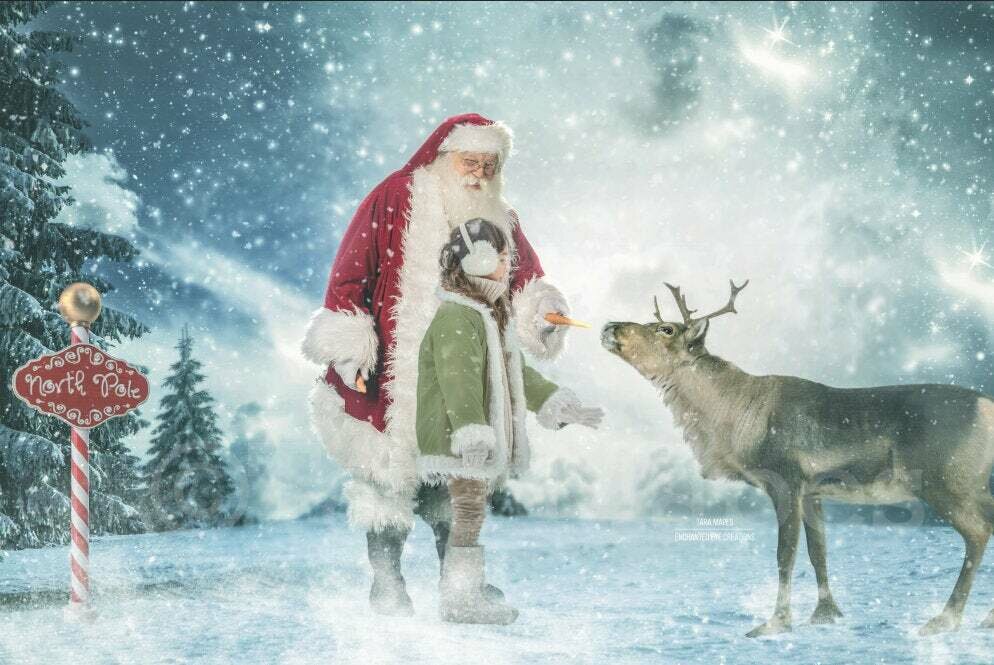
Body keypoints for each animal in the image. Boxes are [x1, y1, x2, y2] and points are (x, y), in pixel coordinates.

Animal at [601, 280, 994, 637]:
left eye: (665, 329)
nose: (609, 326)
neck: (735, 417)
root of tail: (987, 405)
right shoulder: (812, 492)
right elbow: (818, 550)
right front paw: (825, 614)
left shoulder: (784, 481)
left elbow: (785, 554)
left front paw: (775, 623)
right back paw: (983, 619)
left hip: (944, 481)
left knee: (977, 532)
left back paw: (944, 620)